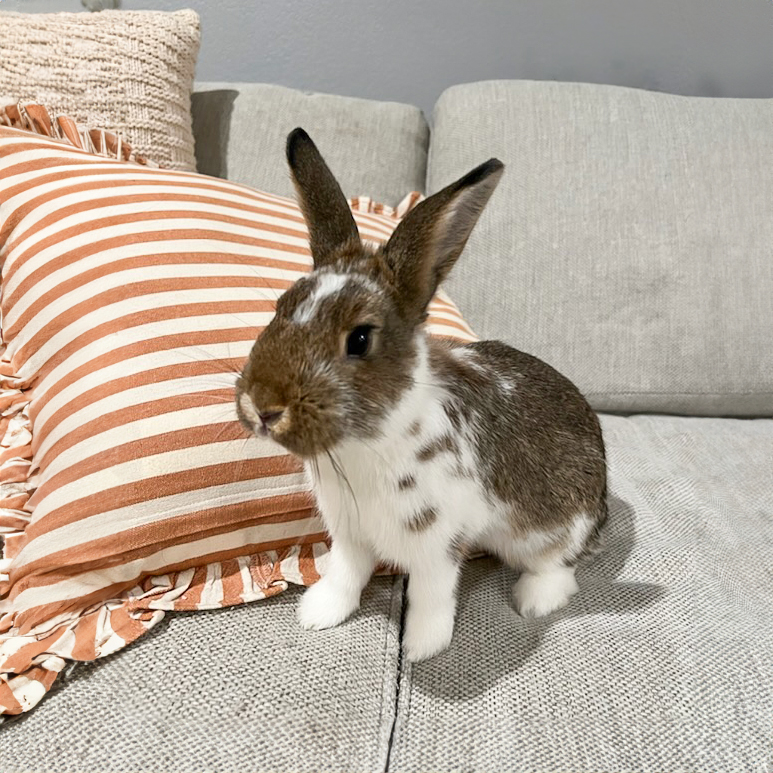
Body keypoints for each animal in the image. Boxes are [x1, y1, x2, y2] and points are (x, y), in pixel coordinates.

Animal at [235, 128, 607, 662]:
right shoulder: (349, 535)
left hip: (551, 531)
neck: (365, 445)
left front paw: (421, 649)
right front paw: (318, 614)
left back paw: (533, 601)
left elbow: (432, 596)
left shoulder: (438, 546)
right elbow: (346, 576)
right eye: (281, 307)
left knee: (558, 567)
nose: (263, 407)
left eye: (360, 339)